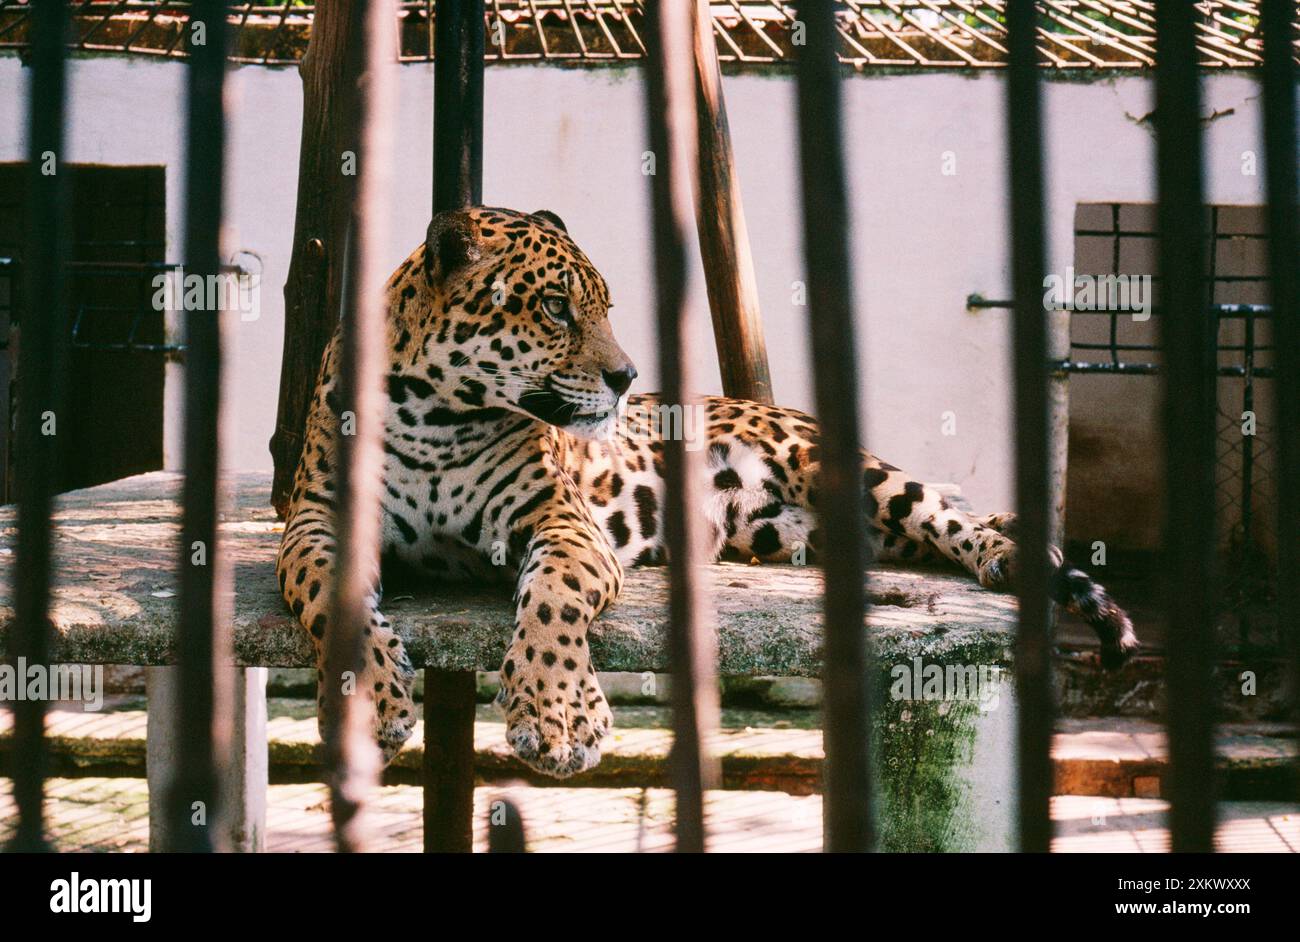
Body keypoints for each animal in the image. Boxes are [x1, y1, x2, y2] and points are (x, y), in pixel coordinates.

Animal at [276, 206, 1140, 779]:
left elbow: (550, 603)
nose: (627, 377)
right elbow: (328, 596)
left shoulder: (562, 524)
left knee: (947, 515)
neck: (438, 414)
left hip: (840, 466)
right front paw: (373, 702)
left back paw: (1012, 555)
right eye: (555, 306)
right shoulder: (316, 520)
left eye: (604, 306)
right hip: (806, 530)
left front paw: (558, 716)